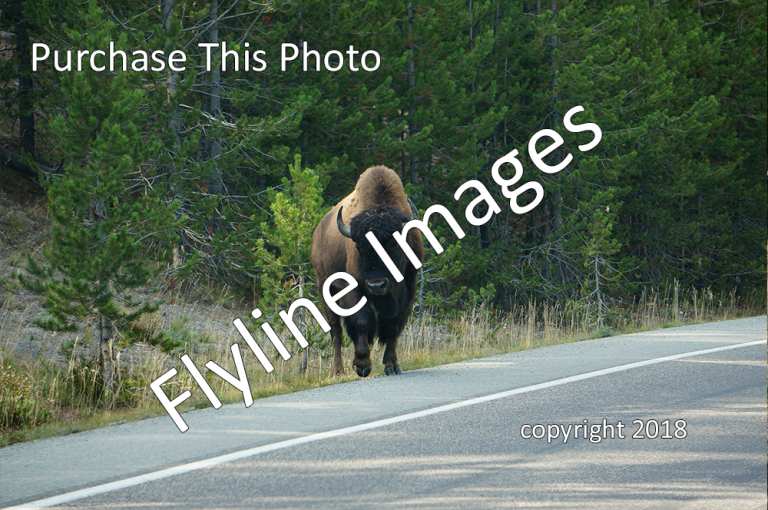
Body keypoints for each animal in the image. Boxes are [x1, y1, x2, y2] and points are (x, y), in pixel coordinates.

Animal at [311, 166, 423, 377]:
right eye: (358, 247)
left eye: (394, 244)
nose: (376, 285)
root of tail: (318, 231)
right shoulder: (355, 288)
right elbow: (363, 321)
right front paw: (363, 365)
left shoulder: (408, 289)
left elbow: (392, 326)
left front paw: (392, 366)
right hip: (325, 287)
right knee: (336, 330)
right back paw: (338, 371)